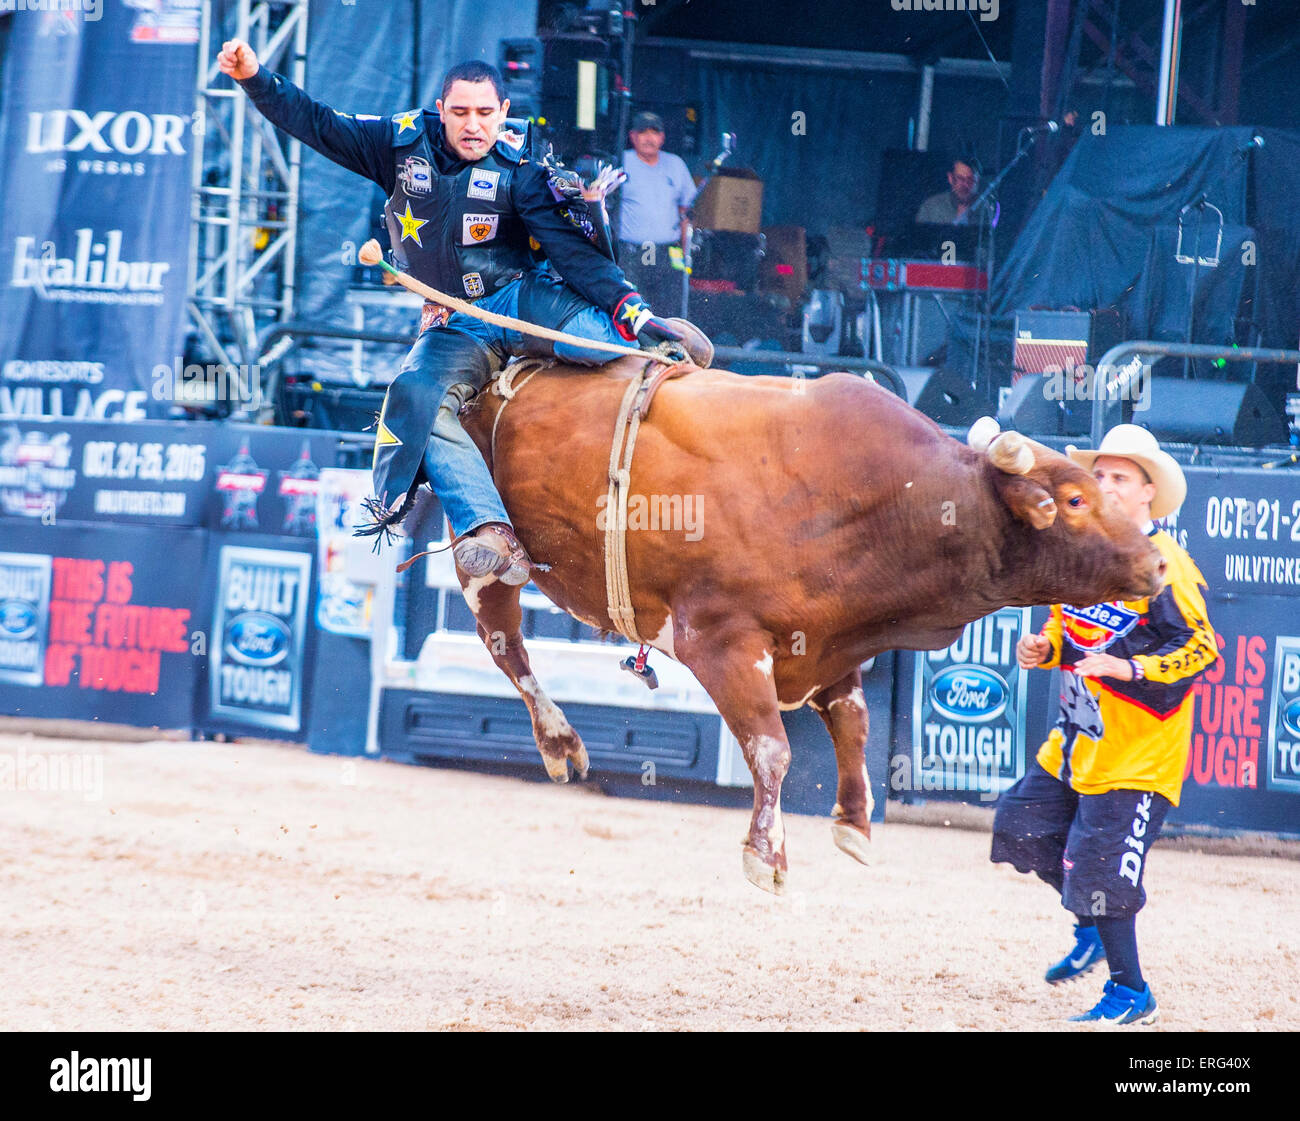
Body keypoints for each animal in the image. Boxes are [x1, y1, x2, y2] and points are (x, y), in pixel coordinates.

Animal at [446, 357, 1166, 894]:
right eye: (1075, 498)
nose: (1158, 560)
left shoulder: (828, 644)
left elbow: (855, 725)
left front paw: (856, 825)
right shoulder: (722, 641)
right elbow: (772, 747)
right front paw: (766, 854)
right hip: (485, 554)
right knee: (505, 642)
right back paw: (559, 740)